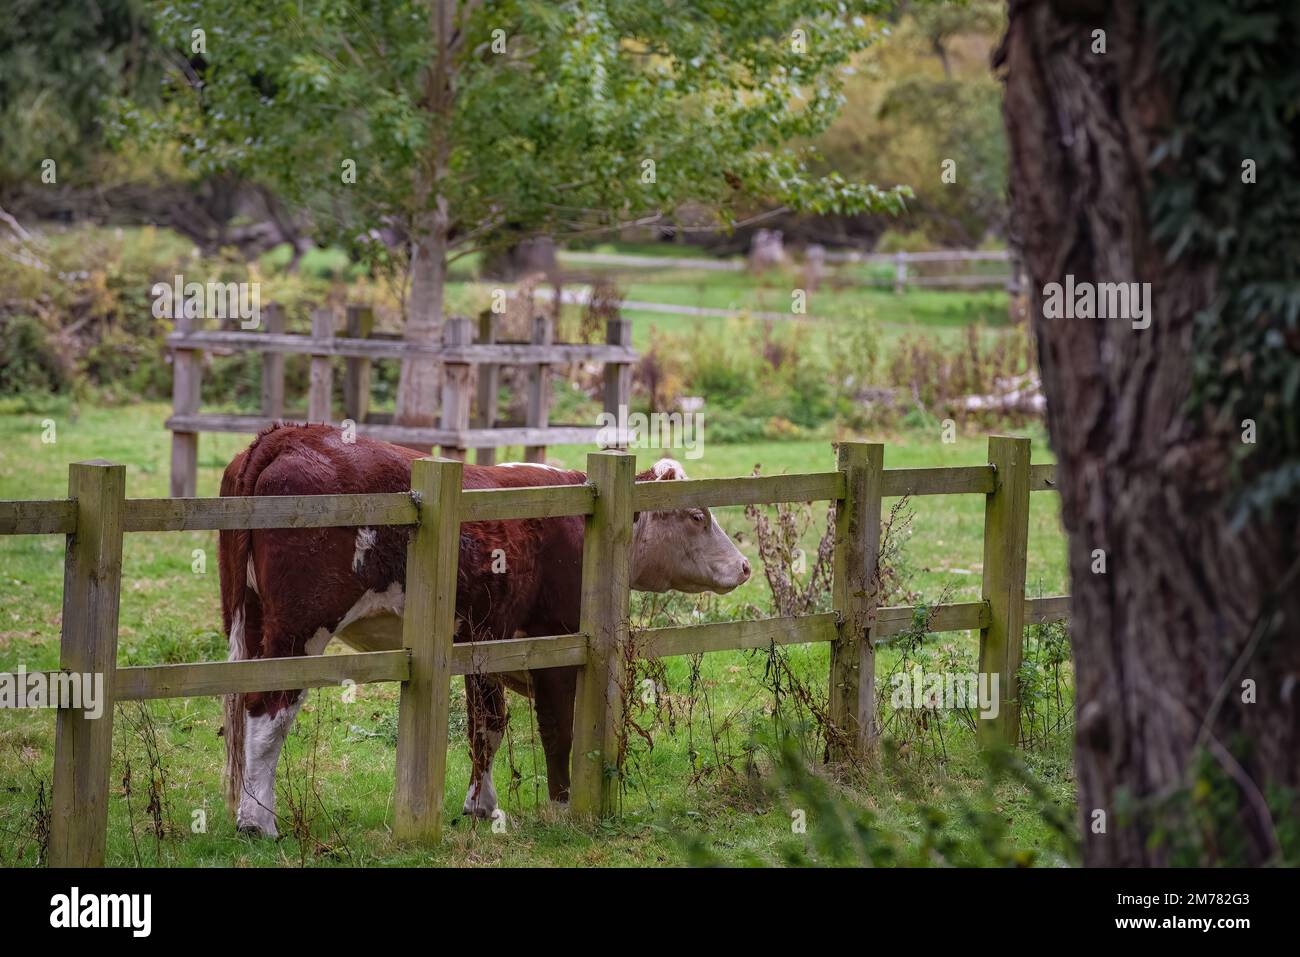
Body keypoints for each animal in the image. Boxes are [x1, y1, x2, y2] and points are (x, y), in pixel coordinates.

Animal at [218, 424, 750, 836]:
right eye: (698, 516)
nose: (744, 567)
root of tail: (287, 435)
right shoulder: (554, 639)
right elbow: (556, 727)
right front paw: (561, 807)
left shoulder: (484, 641)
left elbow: (486, 725)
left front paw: (482, 805)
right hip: (299, 627)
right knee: (269, 709)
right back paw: (257, 821)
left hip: (253, 618)